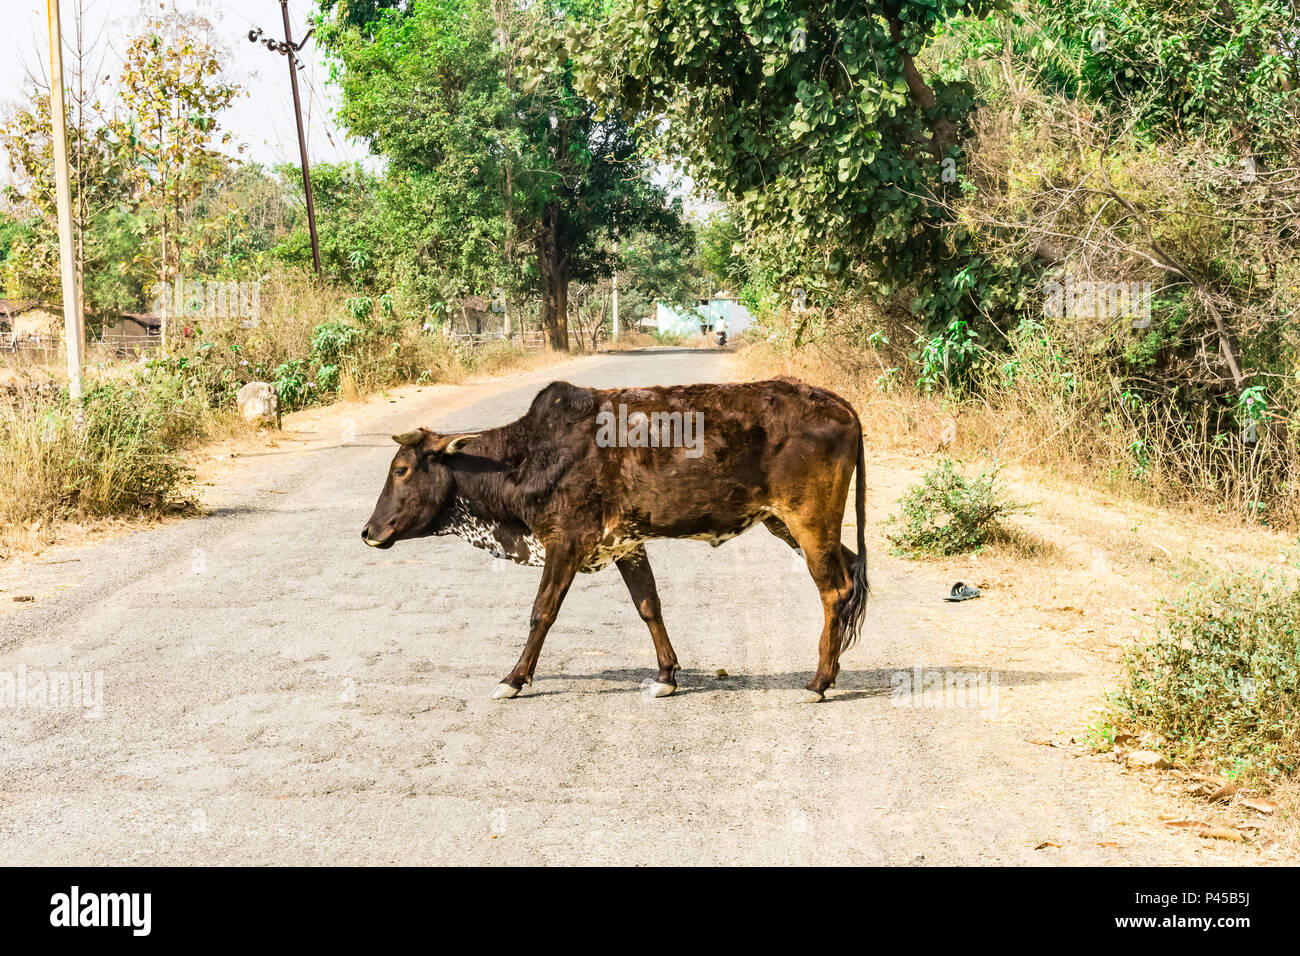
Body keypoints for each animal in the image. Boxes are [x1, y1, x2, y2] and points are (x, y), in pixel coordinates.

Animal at [362, 378, 868, 702]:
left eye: (401, 470)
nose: (368, 532)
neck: (525, 457)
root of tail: (839, 404)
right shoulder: (626, 544)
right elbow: (649, 605)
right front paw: (666, 676)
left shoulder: (566, 541)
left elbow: (542, 612)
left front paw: (513, 679)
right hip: (788, 525)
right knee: (850, 575)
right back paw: (832, 672)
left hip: (809, 521)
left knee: (834, 590)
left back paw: (819, 683)